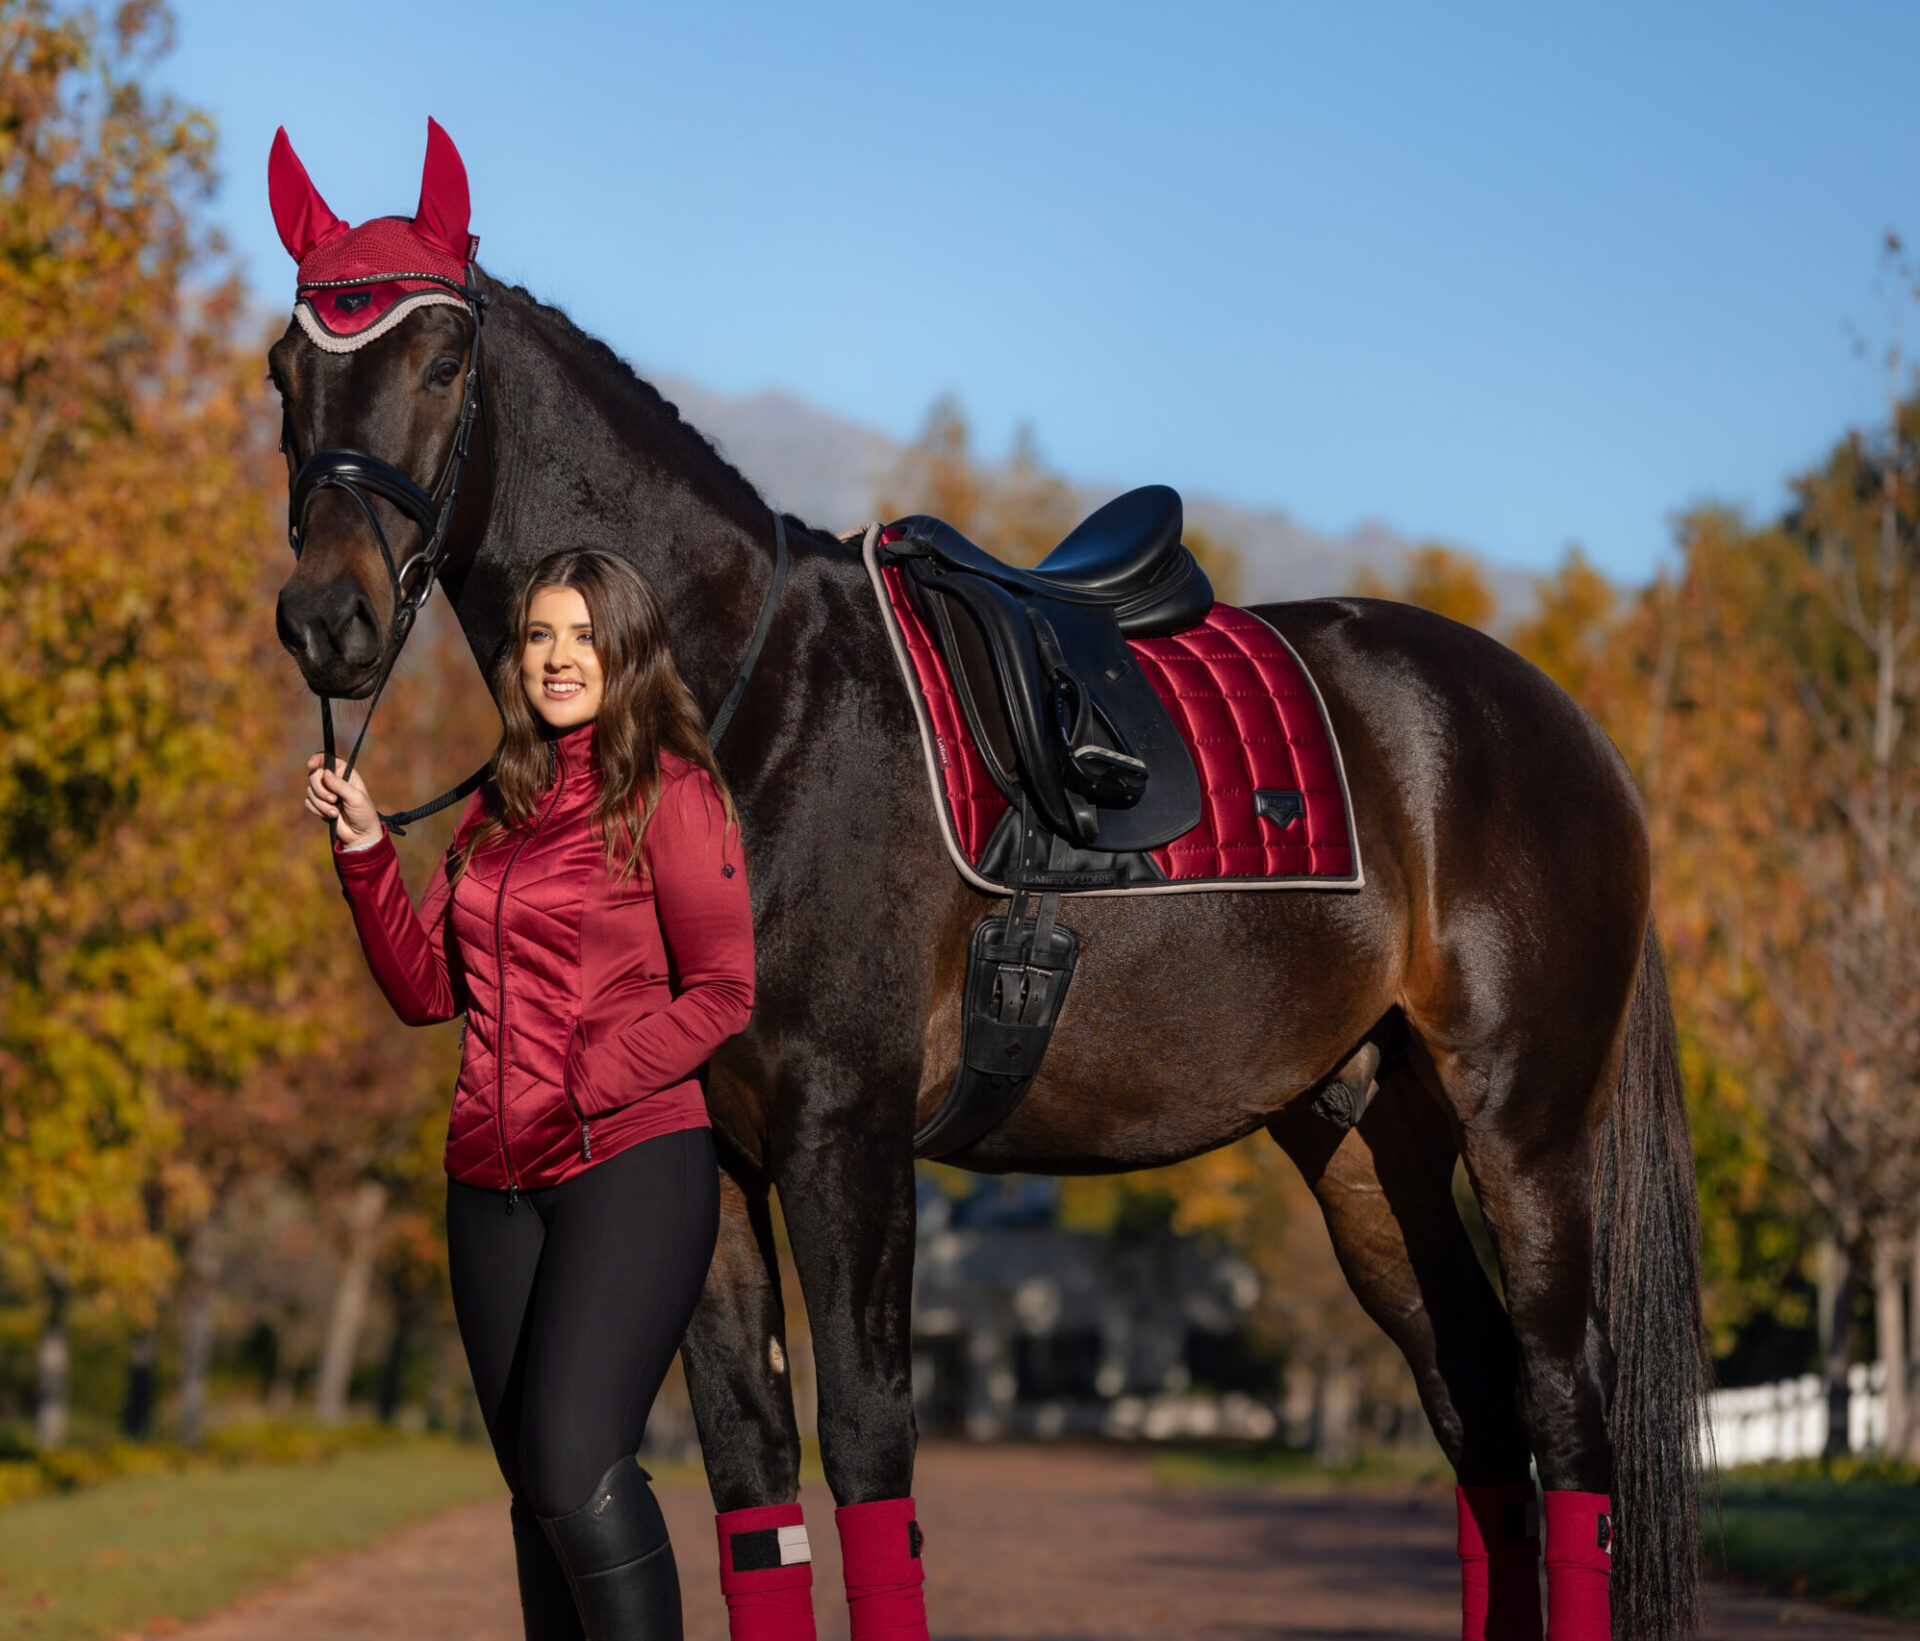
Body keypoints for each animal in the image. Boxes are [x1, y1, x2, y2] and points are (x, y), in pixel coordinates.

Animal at [268, 188, 1709, 1641]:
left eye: (444, 364)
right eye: (286, 375)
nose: (326, 619)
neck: (740, 703)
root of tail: (1562, 723)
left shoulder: (845, 1133)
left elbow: (868, 1452)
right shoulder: (712, 1160)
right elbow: (752, 1477)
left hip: (1524, 1131)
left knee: (1562, 1418)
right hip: (1366, 1141)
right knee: (1478, 1412)